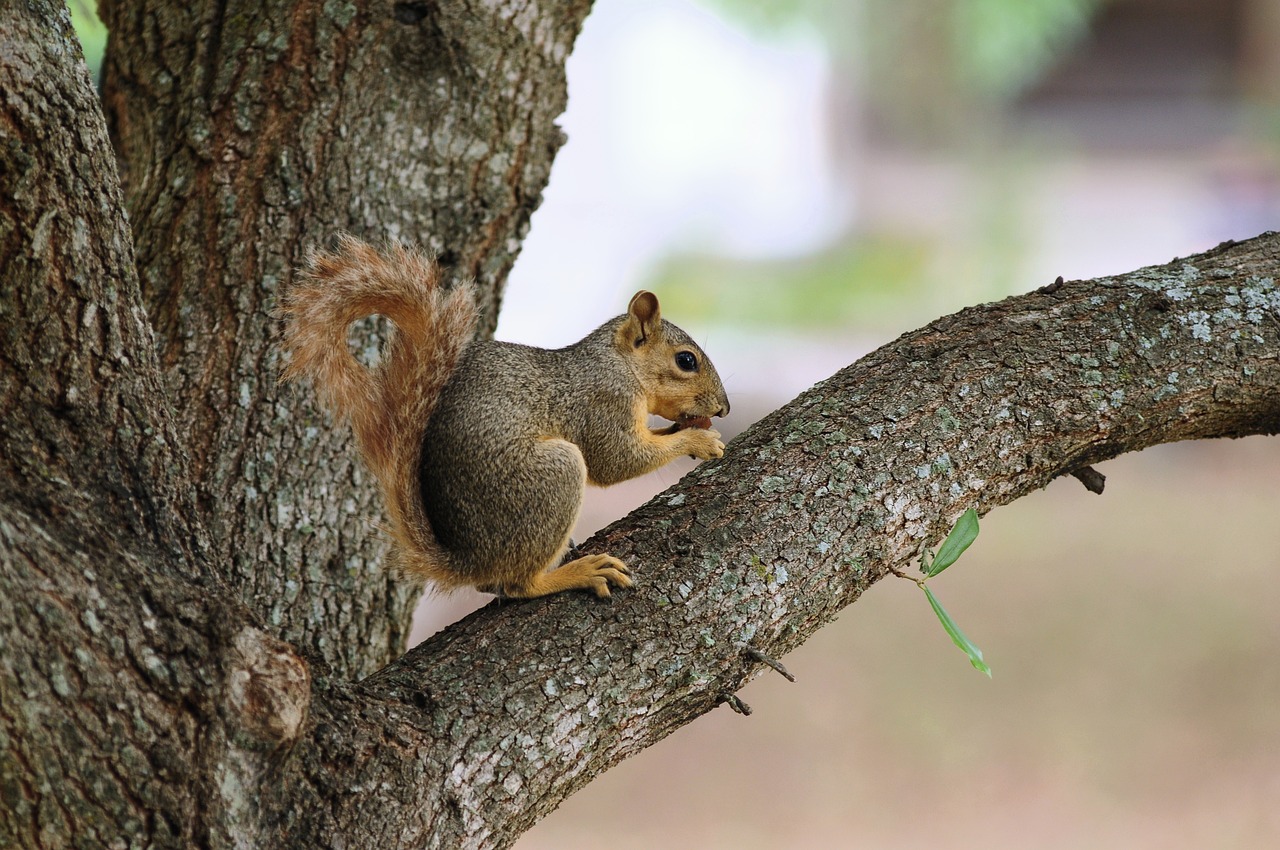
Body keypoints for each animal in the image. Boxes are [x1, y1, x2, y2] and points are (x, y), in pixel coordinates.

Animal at [279, 236, 729, 599]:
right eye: (686, 360)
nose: (724, 408)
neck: (620, 363)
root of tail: (470, 560)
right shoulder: (603, 402)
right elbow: (616, 460)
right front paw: (698, 440)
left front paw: (689, 430)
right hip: (551, 477)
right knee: (516, 585)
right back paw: (575, 573)